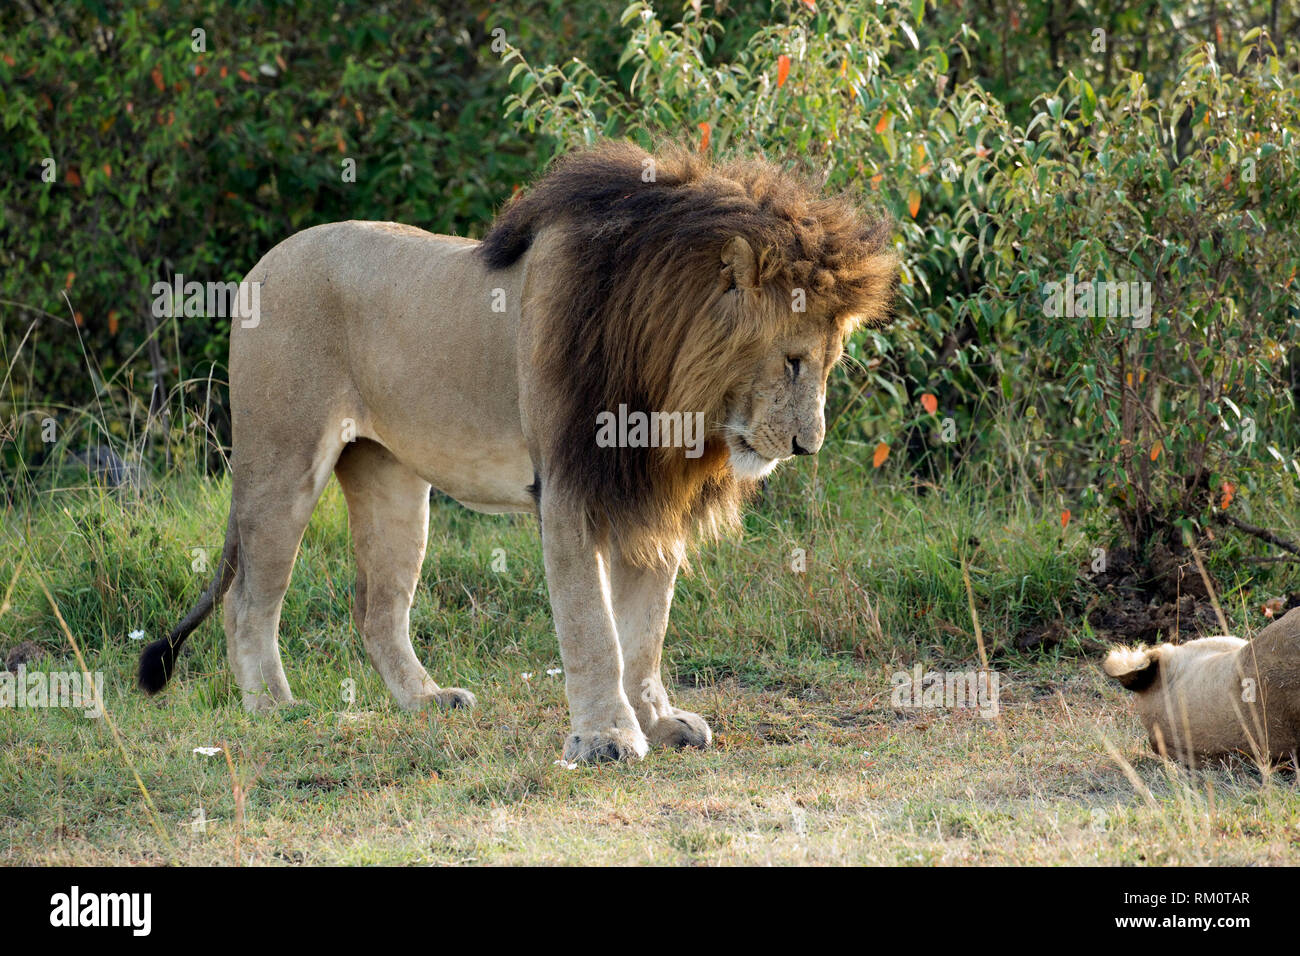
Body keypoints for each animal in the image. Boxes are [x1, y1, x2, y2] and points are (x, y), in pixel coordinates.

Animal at [139, 141, 899, 762]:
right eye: (793, 360)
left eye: (830, 361)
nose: (806, 445)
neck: (668, 375)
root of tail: (265, 262)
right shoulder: (568, 490)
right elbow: (594, 629)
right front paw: (607, 738)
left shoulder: (646, 494)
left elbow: (645, 630)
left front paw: (656, 721)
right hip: (282, 461)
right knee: (248, 600)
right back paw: (274, 707)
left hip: (391, 482)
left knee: (376, 608)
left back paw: (427, 701)